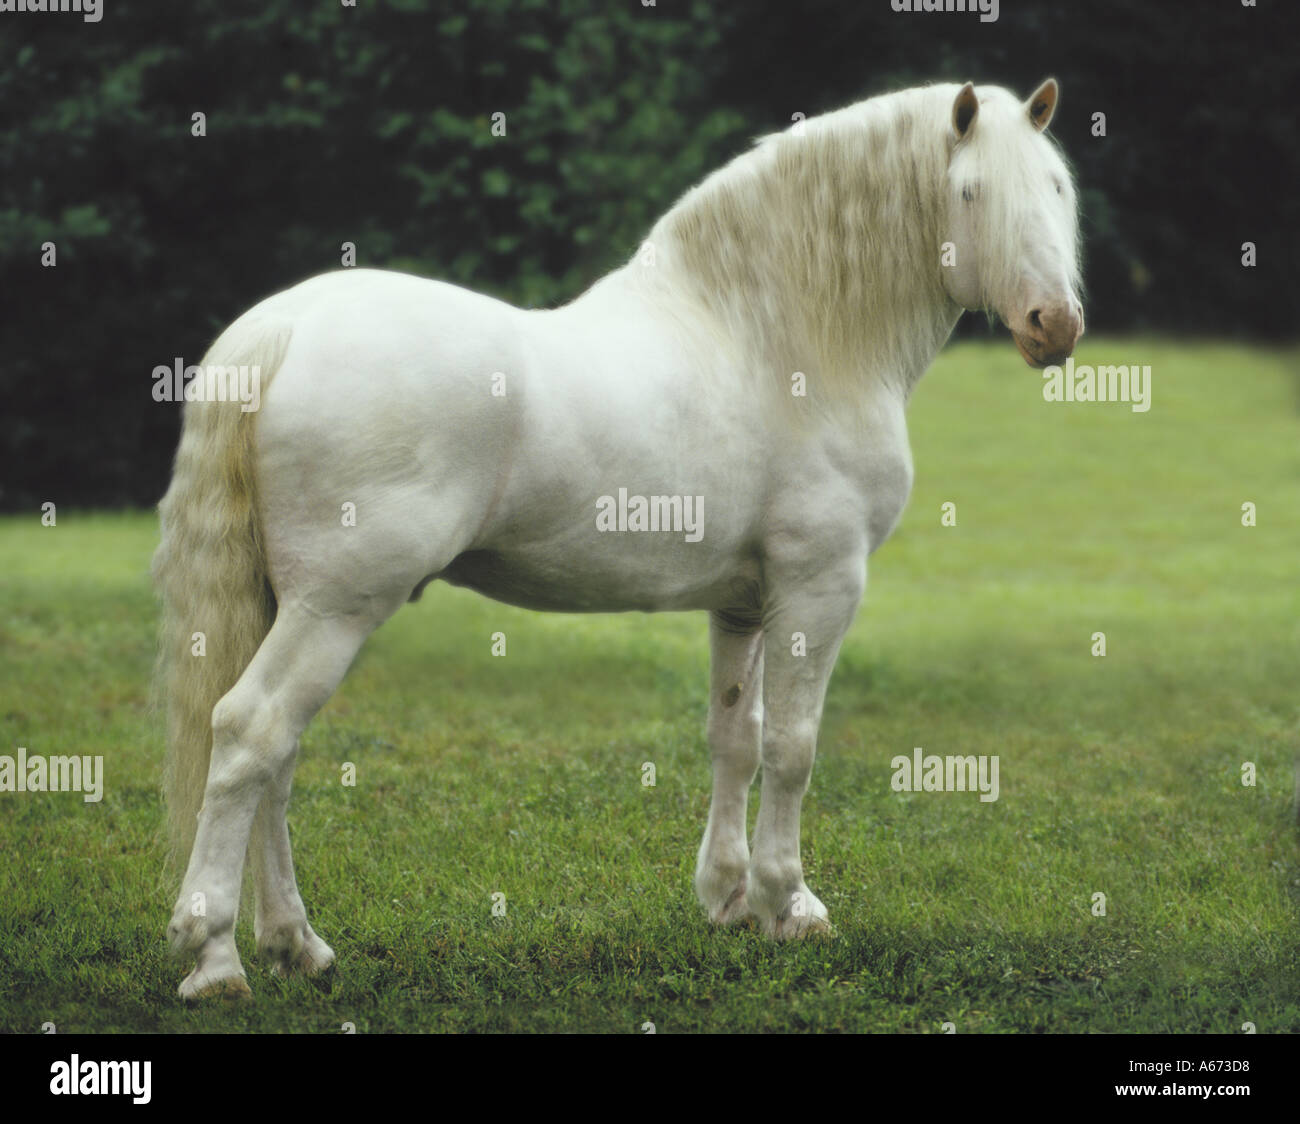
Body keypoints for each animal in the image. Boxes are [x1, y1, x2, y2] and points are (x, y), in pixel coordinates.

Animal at [153, 79, 1083, 999]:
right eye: (972, 193)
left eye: (1057, 186)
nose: (1056, 325)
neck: (771, 342)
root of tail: (283, 330)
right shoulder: (820, 587)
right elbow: (792, 748)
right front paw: (790, 905)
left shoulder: (745, 605)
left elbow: (735, 739)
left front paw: (729, 898)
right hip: (336, 607)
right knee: (250, 732)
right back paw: (217, 958)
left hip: (291, 604)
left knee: (275, 758)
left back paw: (296, 944)